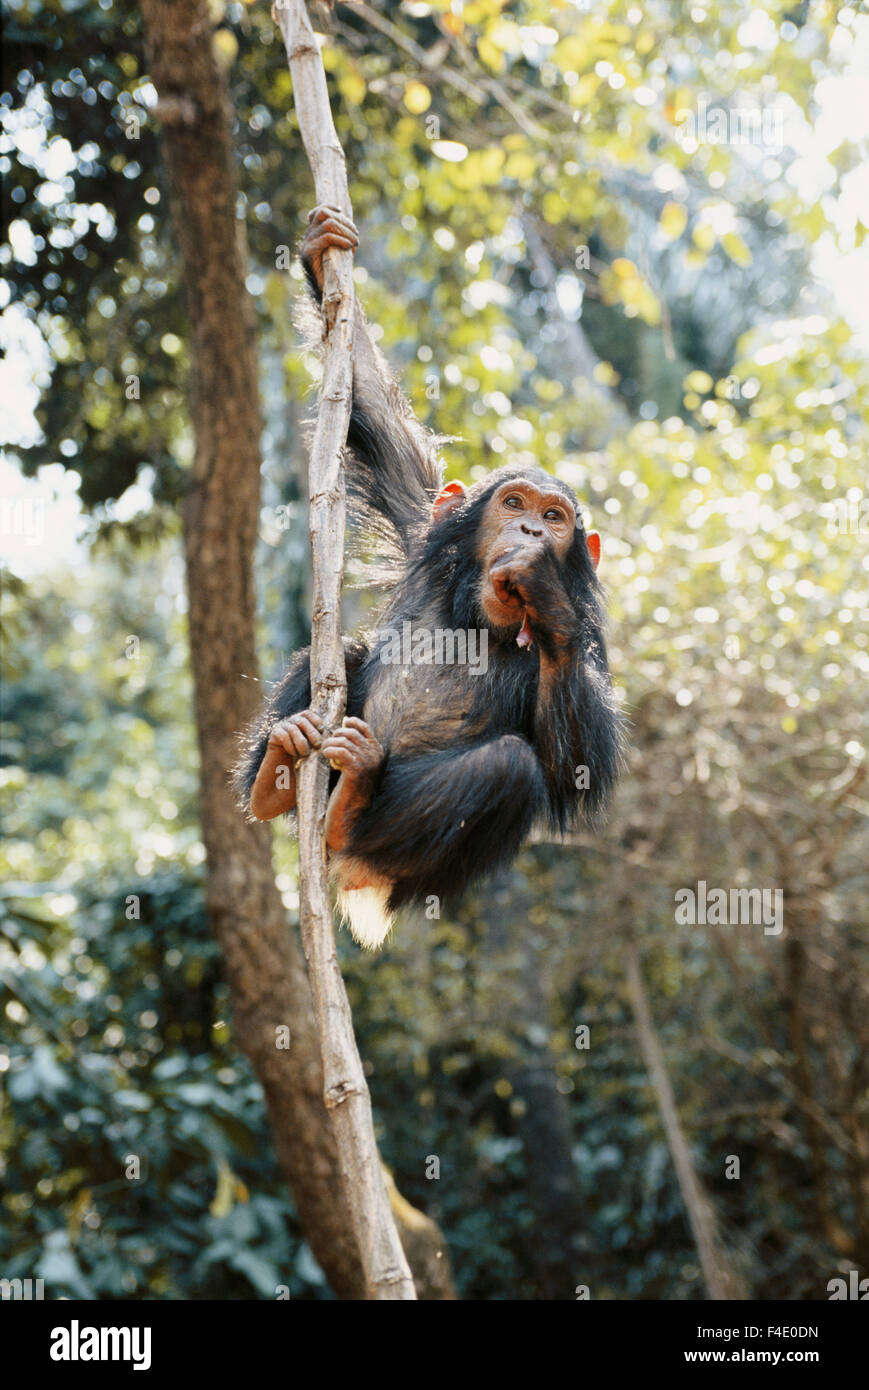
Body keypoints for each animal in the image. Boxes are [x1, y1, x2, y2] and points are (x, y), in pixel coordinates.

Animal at [235, 205, 623, 949]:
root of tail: (359, 882)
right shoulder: (424, 522)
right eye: (513, 504)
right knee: (346, 651)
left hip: (404, 866)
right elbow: (374, 414)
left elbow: (572, 768)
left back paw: (351, 809)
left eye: (555, 517)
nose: (532, 534)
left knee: (509, 767)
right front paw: (321, 247)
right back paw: (276, 775)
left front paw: (545, 592)